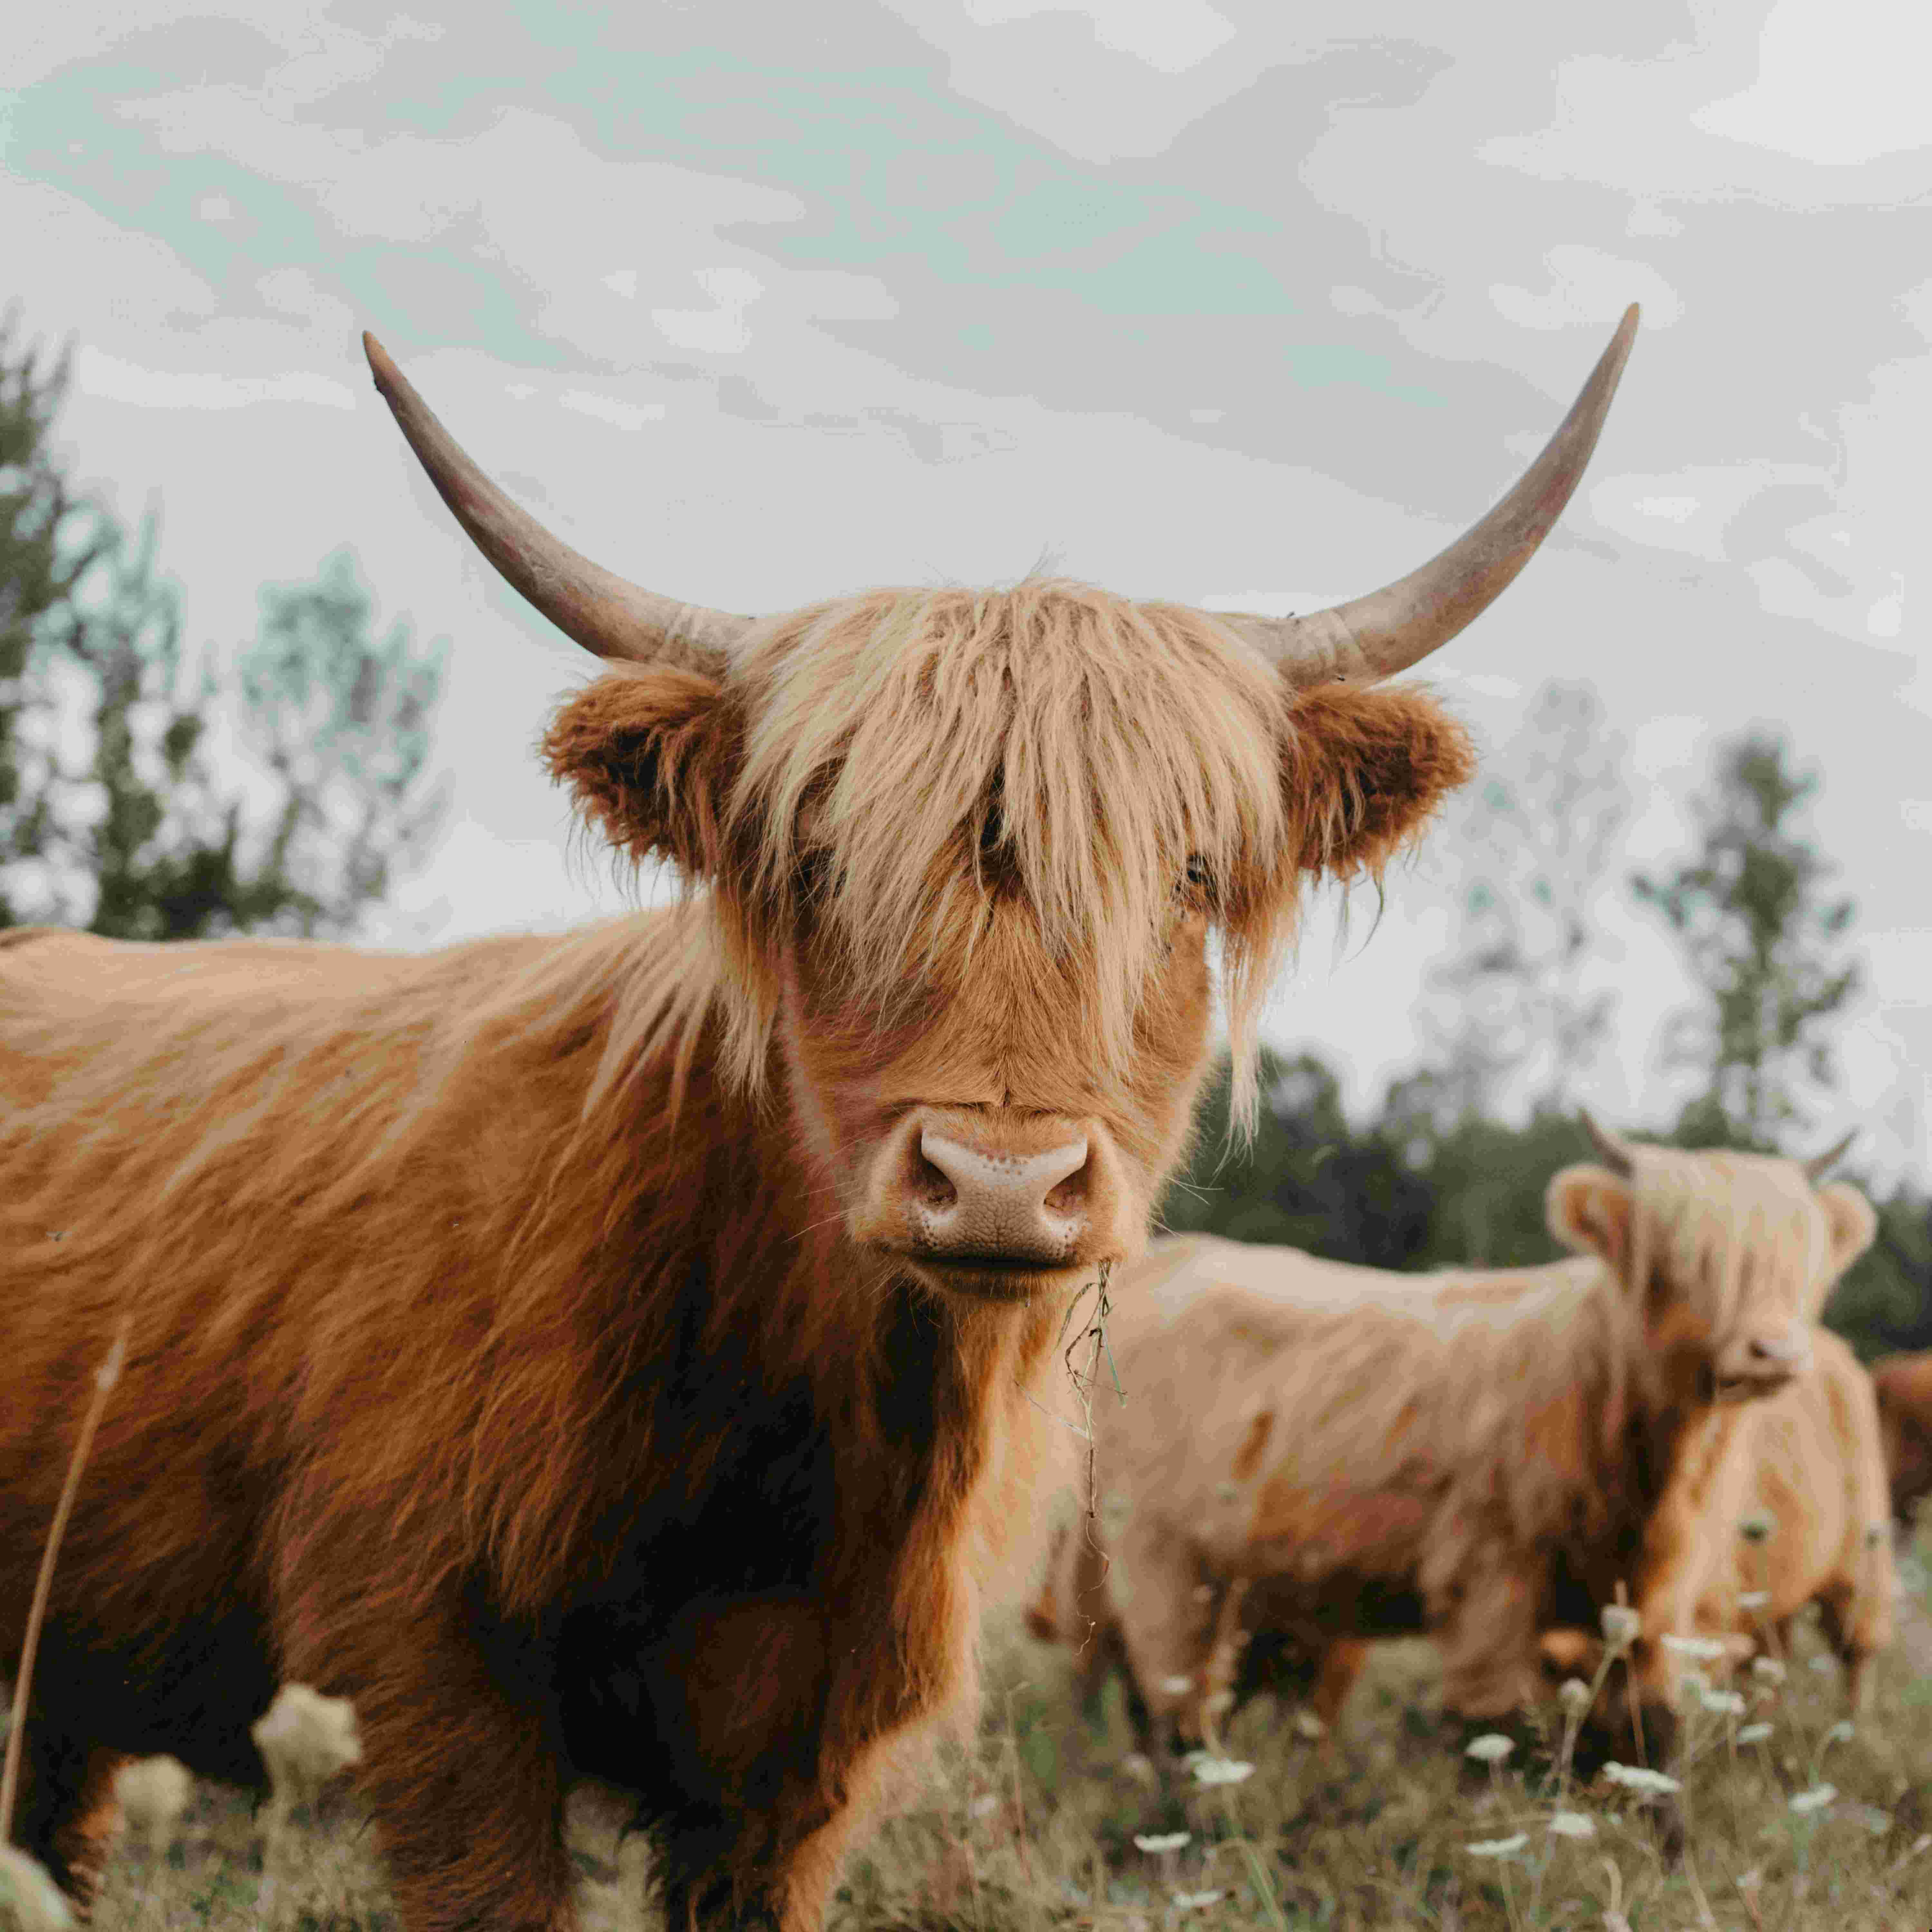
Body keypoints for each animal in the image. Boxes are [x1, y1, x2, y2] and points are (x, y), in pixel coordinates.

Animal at [1028, 1119, 1875, 1765]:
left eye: (1799, 1270)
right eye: (1681, 1262)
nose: (1775, 1353)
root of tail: (1171, 1261)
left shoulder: (1662, 1600)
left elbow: (1652, 1733)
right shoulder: (1488, 1584)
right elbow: (1490, 1734)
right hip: (1161, 1562)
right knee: (1174, 1709)